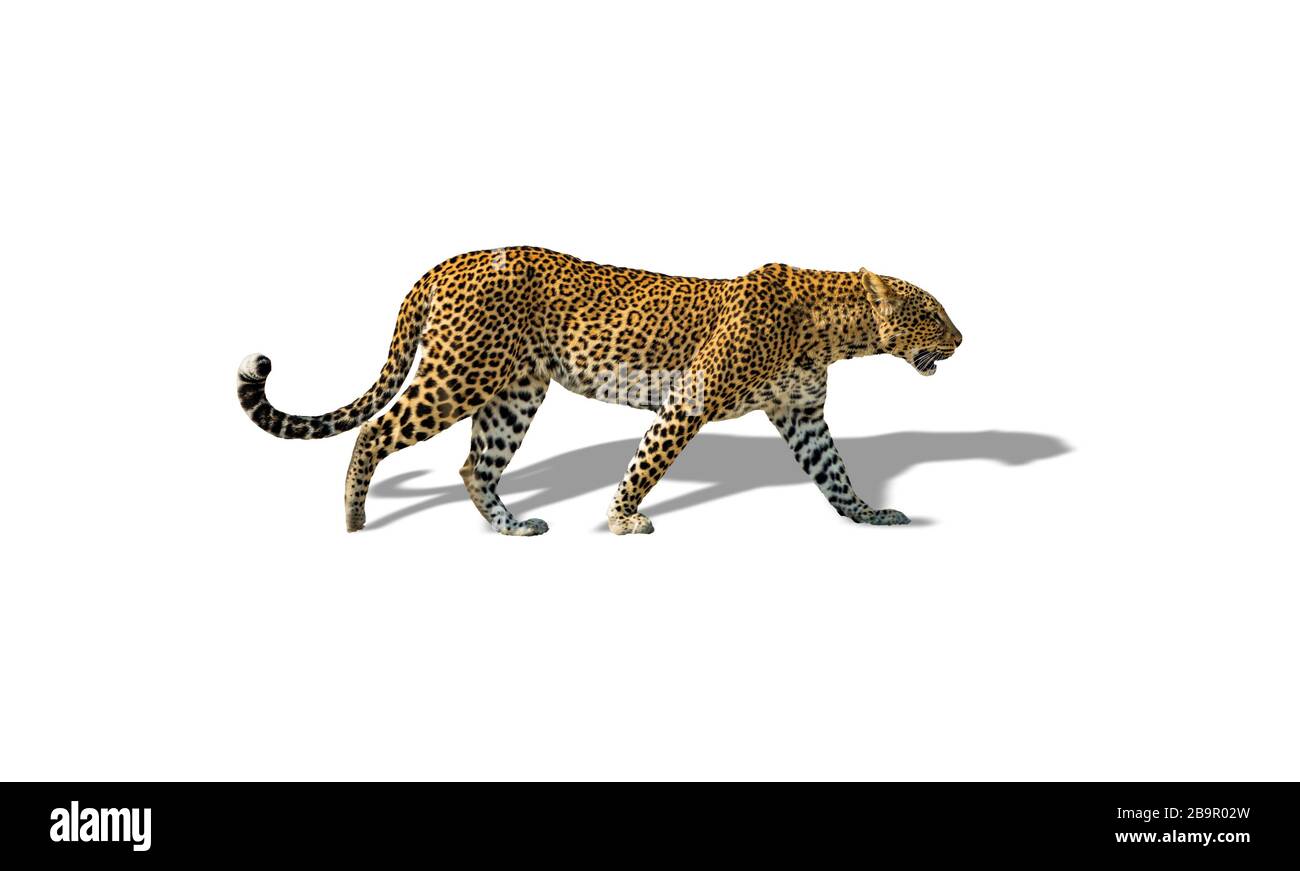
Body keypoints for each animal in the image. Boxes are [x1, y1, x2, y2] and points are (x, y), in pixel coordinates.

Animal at [236, 247, 962, 535]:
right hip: (460, 373)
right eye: (932, 313)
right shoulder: (689, 400)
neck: (835, 330)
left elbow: (835, 473)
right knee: (374, 430)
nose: (962, 338)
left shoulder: (803, 415)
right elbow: (646, 464)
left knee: (476, 465)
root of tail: (448, 263)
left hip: (515, 392)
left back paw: (512, 527)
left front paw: (869, 515)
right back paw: (354, 519)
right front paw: (621, 518)